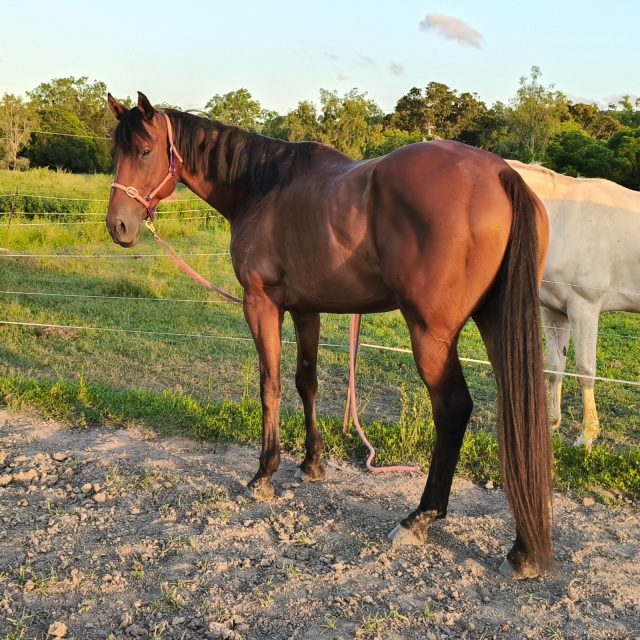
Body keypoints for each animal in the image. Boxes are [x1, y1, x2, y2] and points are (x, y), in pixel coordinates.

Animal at [106, 92, 552, 579]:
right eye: (115, 152)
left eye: (145, 150)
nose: (118, 226)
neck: (262, 188)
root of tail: (500, 172)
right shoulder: (306, 309)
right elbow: (307, 382)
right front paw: (312, 463)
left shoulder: (260, 304)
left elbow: (270, 385)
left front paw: (264, 473)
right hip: (495, 324)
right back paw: (524, 549)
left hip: (431, 335)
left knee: (453, 409)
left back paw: (420, 518)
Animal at [508, 160, 640, 448]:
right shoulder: (554, 311)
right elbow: (555, 366)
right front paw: (551, 422)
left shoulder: (584, 309)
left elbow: (584, 370)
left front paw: (587, 435)